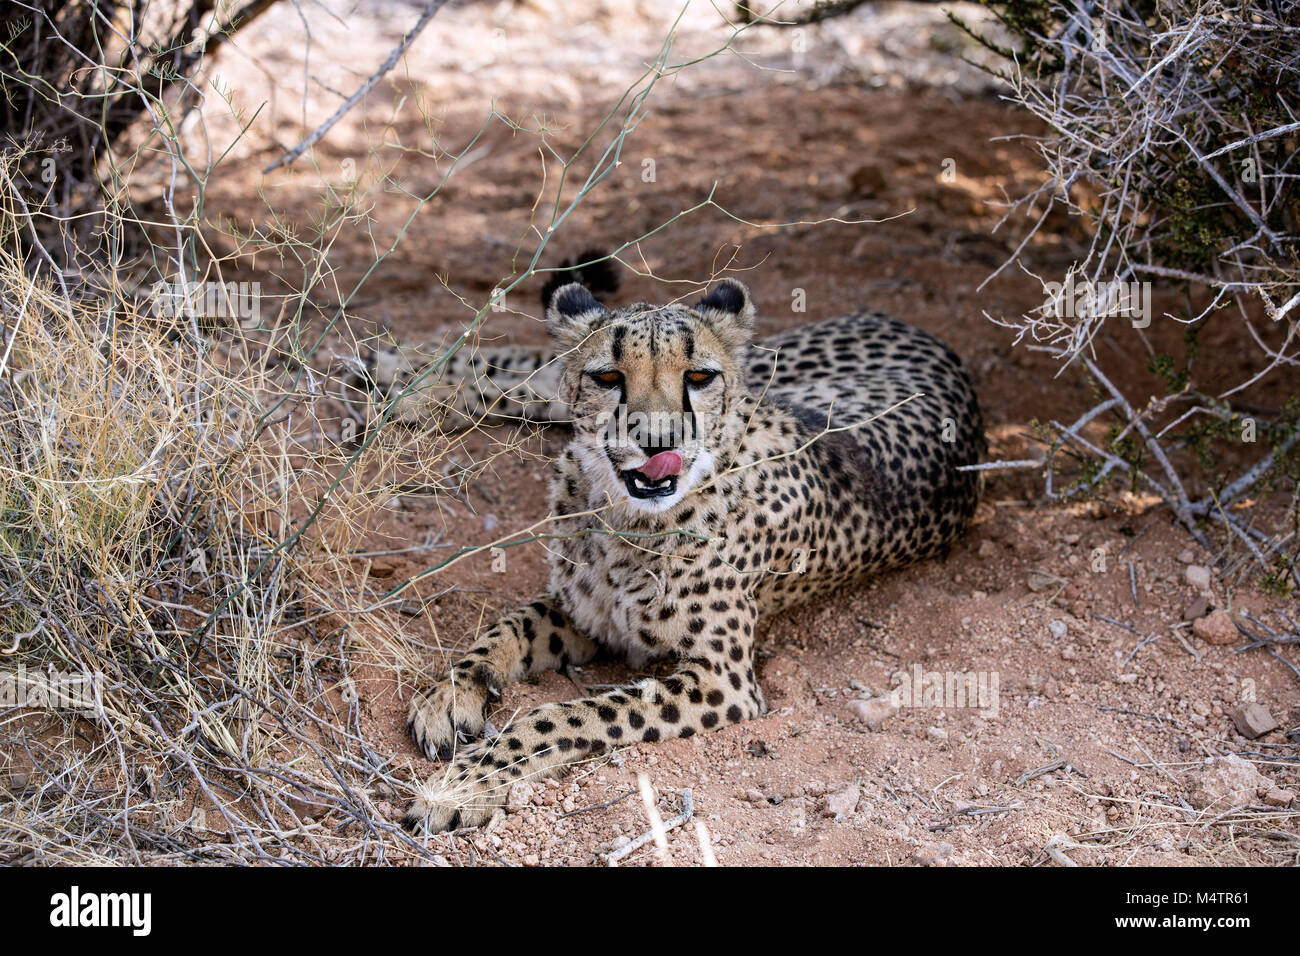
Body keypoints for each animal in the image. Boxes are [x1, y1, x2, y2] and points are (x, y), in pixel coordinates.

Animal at [372, 269, 984, 833]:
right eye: (608, 376)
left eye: (698, 377)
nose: (657, 441)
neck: (626, 515)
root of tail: (902, 322)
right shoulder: (581, 609)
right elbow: (501, 631)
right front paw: (448, 697)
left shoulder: (722, 680)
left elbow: (569, 715)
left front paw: (461, 785)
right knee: (537, 372)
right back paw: (403, 377)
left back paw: (404, 382)